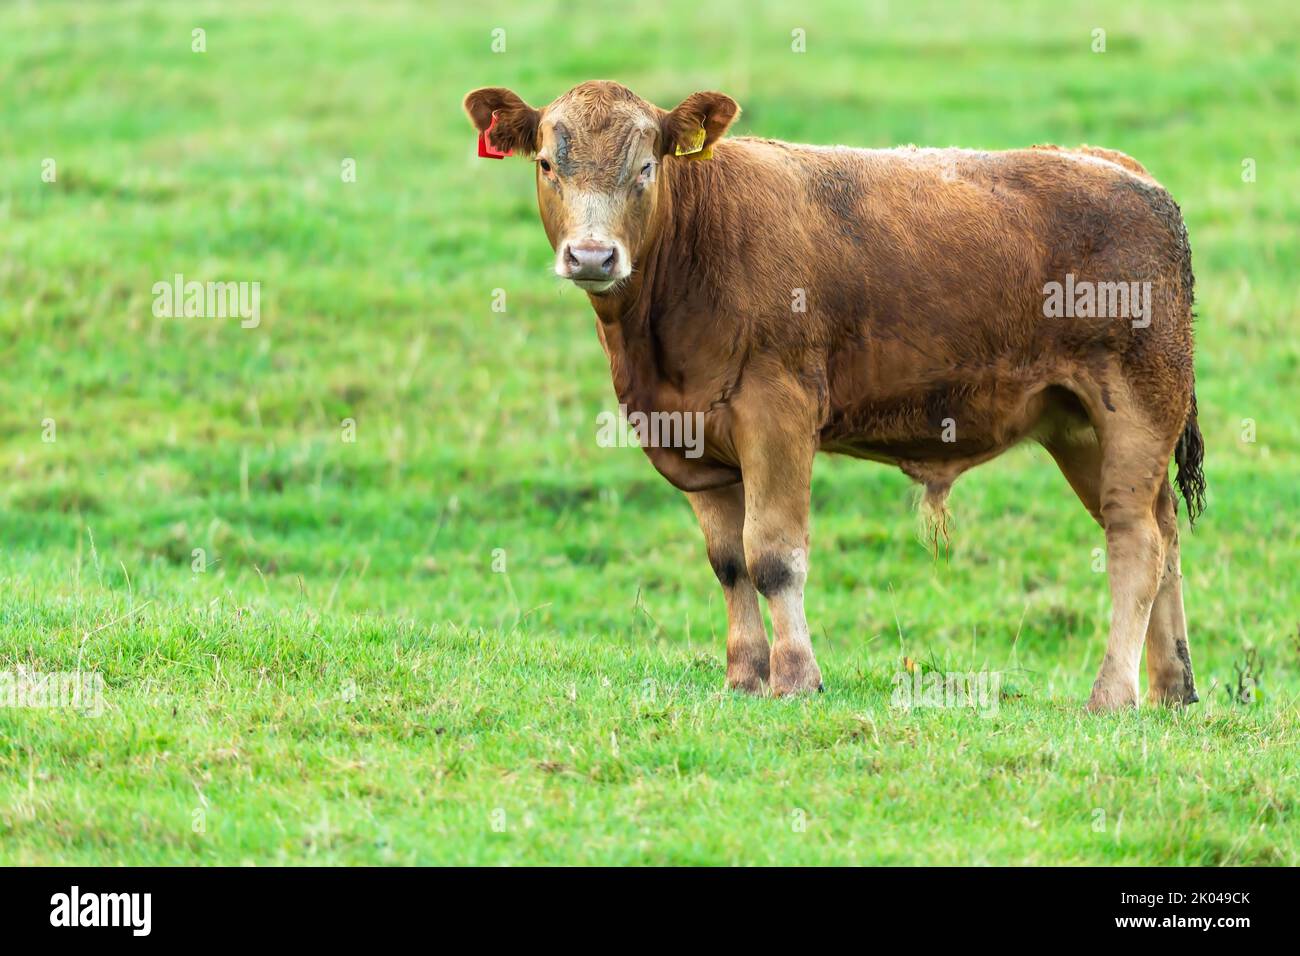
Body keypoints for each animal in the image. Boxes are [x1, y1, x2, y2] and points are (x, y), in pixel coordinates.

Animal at [464, 80, 1206, 711]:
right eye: (547, 166)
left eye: (645, 168)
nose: (592, 256)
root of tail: (1119, 166)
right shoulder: (693, 438)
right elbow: (729, 563)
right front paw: (743, 676)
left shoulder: (778, 415)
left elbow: (774, 556)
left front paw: (796, 677)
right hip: (1081, 427)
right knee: (1164, 535)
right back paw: (1173, 688)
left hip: (1138, 404)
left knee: (1137, 543)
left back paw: (1113, 693)